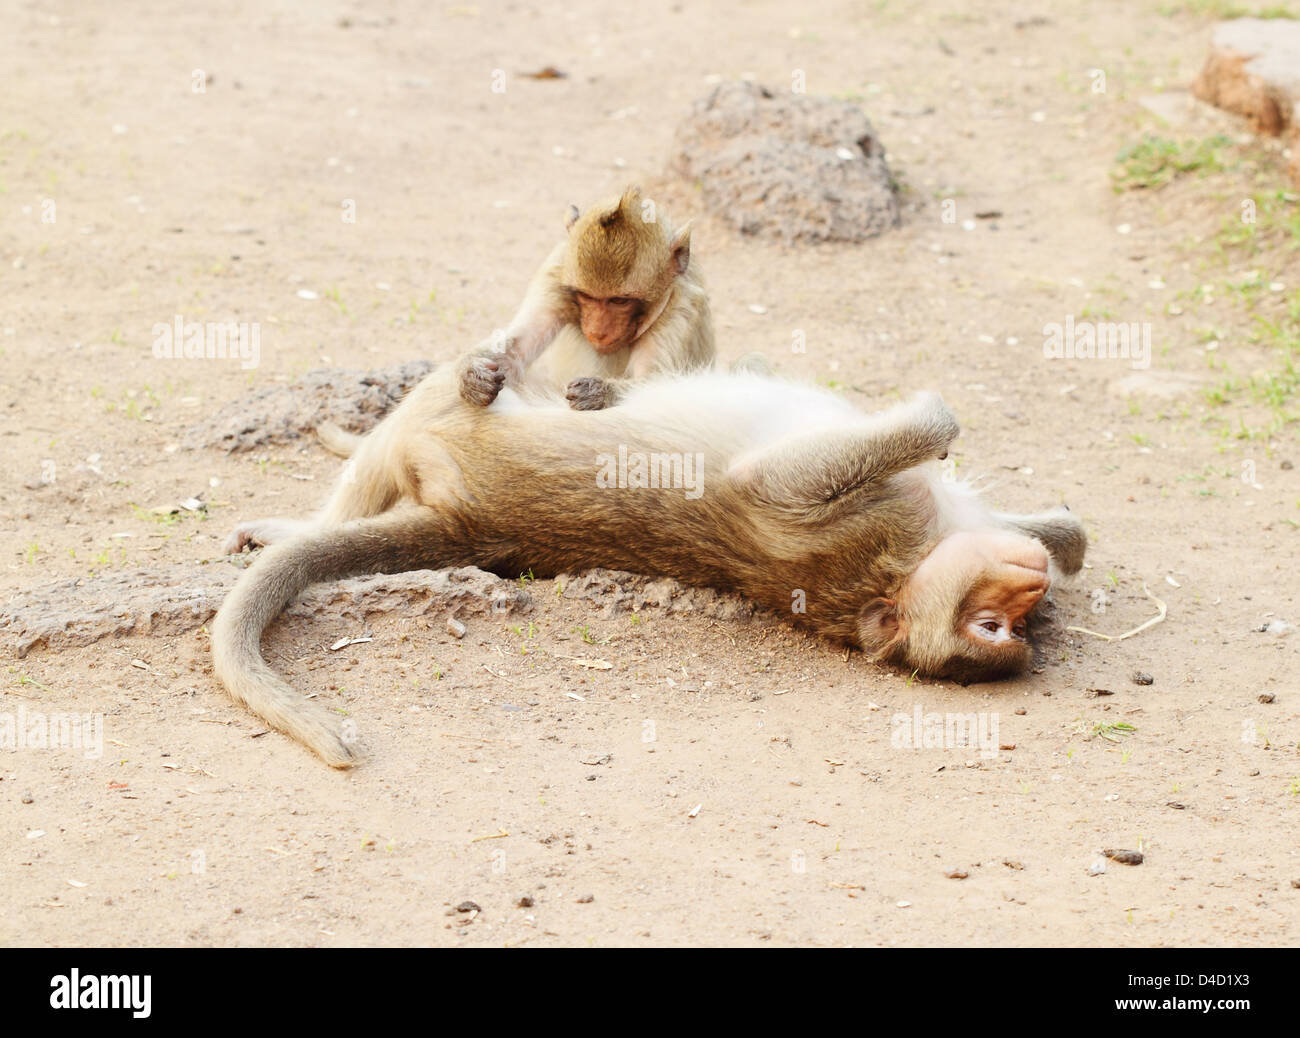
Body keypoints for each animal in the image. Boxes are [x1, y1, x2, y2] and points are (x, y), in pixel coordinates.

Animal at [213, 362, 1087, 767]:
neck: (902, 570)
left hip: (442, 431)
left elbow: (770, 486)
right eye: (993, 622)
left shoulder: (857, 537)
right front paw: (1061, 539)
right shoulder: (880, 532)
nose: (1033, 588)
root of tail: (471, 525)